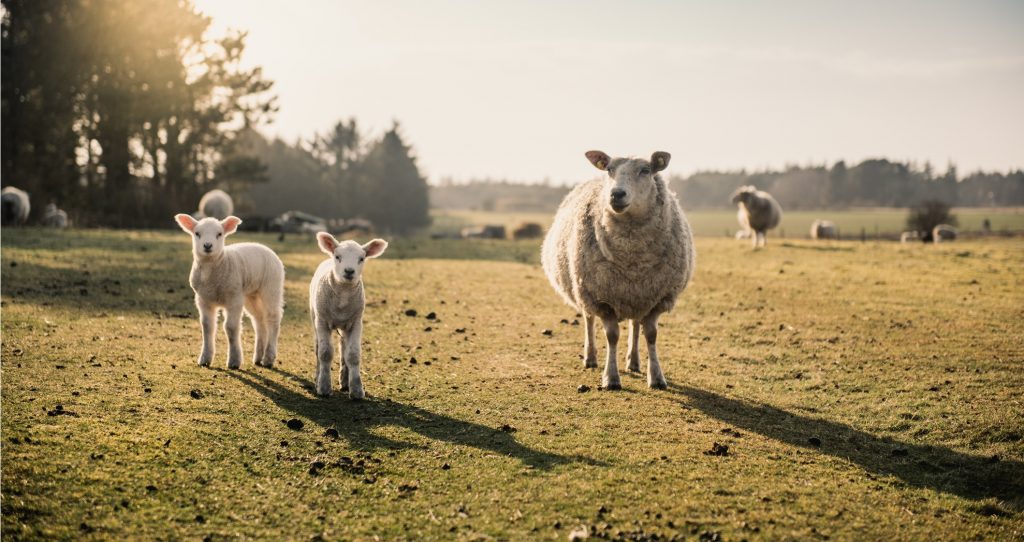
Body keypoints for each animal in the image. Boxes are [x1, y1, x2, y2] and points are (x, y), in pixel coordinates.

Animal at [174, 214, 285, 369]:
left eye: (219, 234)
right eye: (197, 233)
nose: (207, 246)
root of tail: (264, 247)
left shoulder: (234, 298)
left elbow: (231, 328)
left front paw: (234, 361)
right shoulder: (203, 299)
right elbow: (207, 326)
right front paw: (205, 359)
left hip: (271, 286)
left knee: (273, 318)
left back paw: (269, 358)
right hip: (250, 295)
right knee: (259, 320)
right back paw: (258, 357)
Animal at [309, 233, 388, 399]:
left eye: (362, 258)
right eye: (338, 256)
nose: (349, 271)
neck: (343, 296)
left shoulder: (356, 322)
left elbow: (353, 354)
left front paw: (357, 390)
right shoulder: (322, 320)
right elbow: (325, 353)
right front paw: (324, 387)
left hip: (345, 325)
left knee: (343, 346)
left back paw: (345, 381)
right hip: (315, 317)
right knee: (318, 348)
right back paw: (317, 378)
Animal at [541, 150, 695, 390]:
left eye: (646, 170)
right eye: (609, 169)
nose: (616, 194)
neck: (632, 256)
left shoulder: (657, 299)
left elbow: (651, 335)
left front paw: (656, 377)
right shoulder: (602, 299)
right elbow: (612, 336)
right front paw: (611, 378)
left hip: (637, 294)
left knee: (635, 324)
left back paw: (633, 362)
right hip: (584, 289)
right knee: (588, 320)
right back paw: (591, 358)